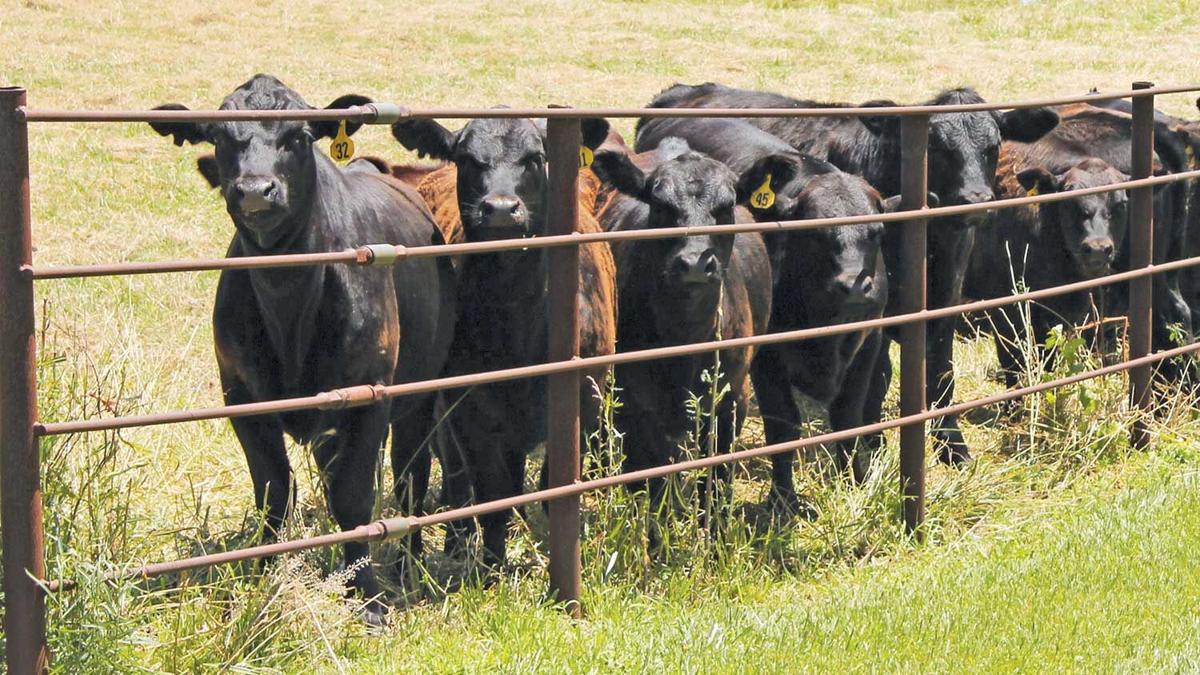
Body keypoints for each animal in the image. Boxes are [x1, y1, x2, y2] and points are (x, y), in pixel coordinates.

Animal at [147, 74, 458, 625]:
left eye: (297, 135)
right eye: (221, 136)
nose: (255, 190)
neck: (288, 301)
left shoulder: (369, 394)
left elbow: (354, 497)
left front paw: (368, 596)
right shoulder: (241, 397)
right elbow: (273, 492)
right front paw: (266, 577)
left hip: (419, 395)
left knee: (410, 474)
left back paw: (408, 562)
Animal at [390, 115, 617, 571]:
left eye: (535, 157)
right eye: (466, 158)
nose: (499, 208)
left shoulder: (584, 399)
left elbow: (552, 487)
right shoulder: (469, 411)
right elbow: (491, 496)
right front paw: (492, 568)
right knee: (458, 479)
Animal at [588, 139, 771, 541]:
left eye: (726, 206)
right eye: (660, 206)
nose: (694, 262)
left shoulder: (732, 398)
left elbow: (716, 481)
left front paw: (714, 541)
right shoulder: (637, 407)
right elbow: (655, 482)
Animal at [636, 117, 906, 507]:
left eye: (877, 232)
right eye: (815, 233)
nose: (855, 285)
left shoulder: (867, 342)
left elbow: (848, 418)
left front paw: (854, 482)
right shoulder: (766, 359)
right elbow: (783, 425)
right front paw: (783, 497)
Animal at [643, 82, 1060, 466]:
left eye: (994, 145)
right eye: (936, 147)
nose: (975, 200)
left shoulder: (943, 303)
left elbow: (941, 378)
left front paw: (953, 449)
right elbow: (877, 382)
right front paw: (873, 445)